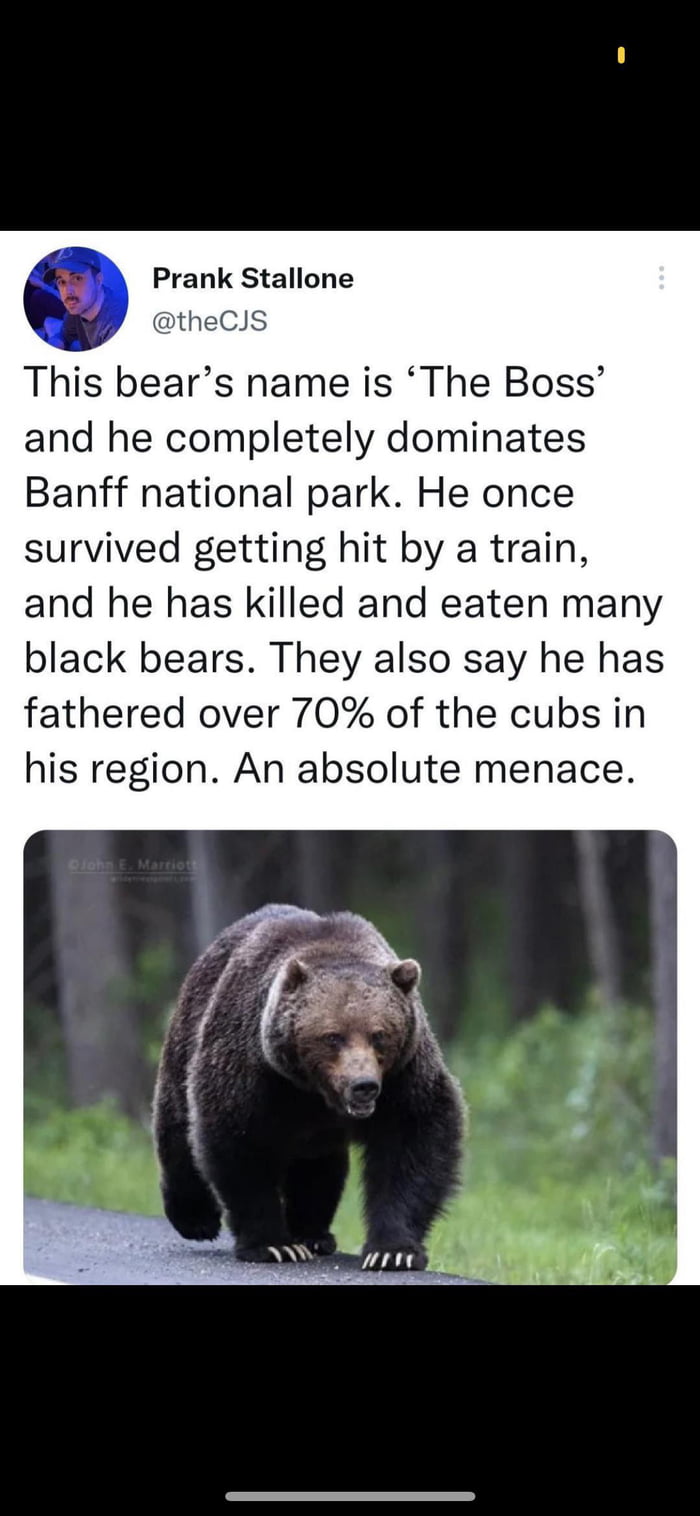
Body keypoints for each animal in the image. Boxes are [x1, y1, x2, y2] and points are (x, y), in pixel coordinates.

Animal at [153, 903, 465, 1271]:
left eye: (379, 1035)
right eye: (333, 1037)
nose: (364, 1086)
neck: (313, 1091)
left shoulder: (403, 1076)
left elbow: (412, 1141)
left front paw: (393, 1251)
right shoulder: (252, 1069)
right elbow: (238, 1143)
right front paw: (274, 1245)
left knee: (319, 1168)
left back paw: (313, 1233)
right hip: (188, 1037)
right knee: (177, 1130)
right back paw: (196, 1219)